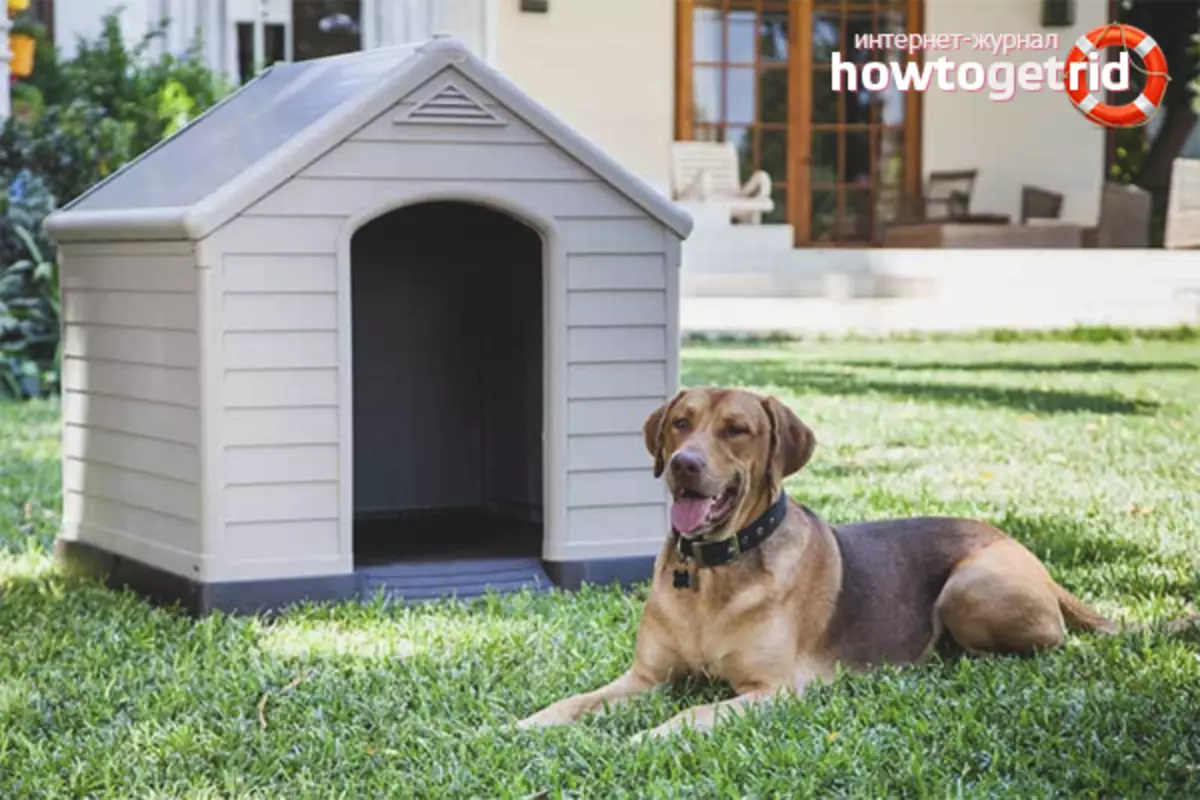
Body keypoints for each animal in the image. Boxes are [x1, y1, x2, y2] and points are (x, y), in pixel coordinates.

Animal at [518, 383, 1171, 743]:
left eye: (736, 429)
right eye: (681, 423)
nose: (683, 464)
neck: (713, 571)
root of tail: (1030, 556)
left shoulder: (773, 690)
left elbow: (694, 712)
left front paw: (647, 737)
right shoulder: (645, 679)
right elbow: (575, 701)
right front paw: (526, 723)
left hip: (970, 586)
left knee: (1048, 640)